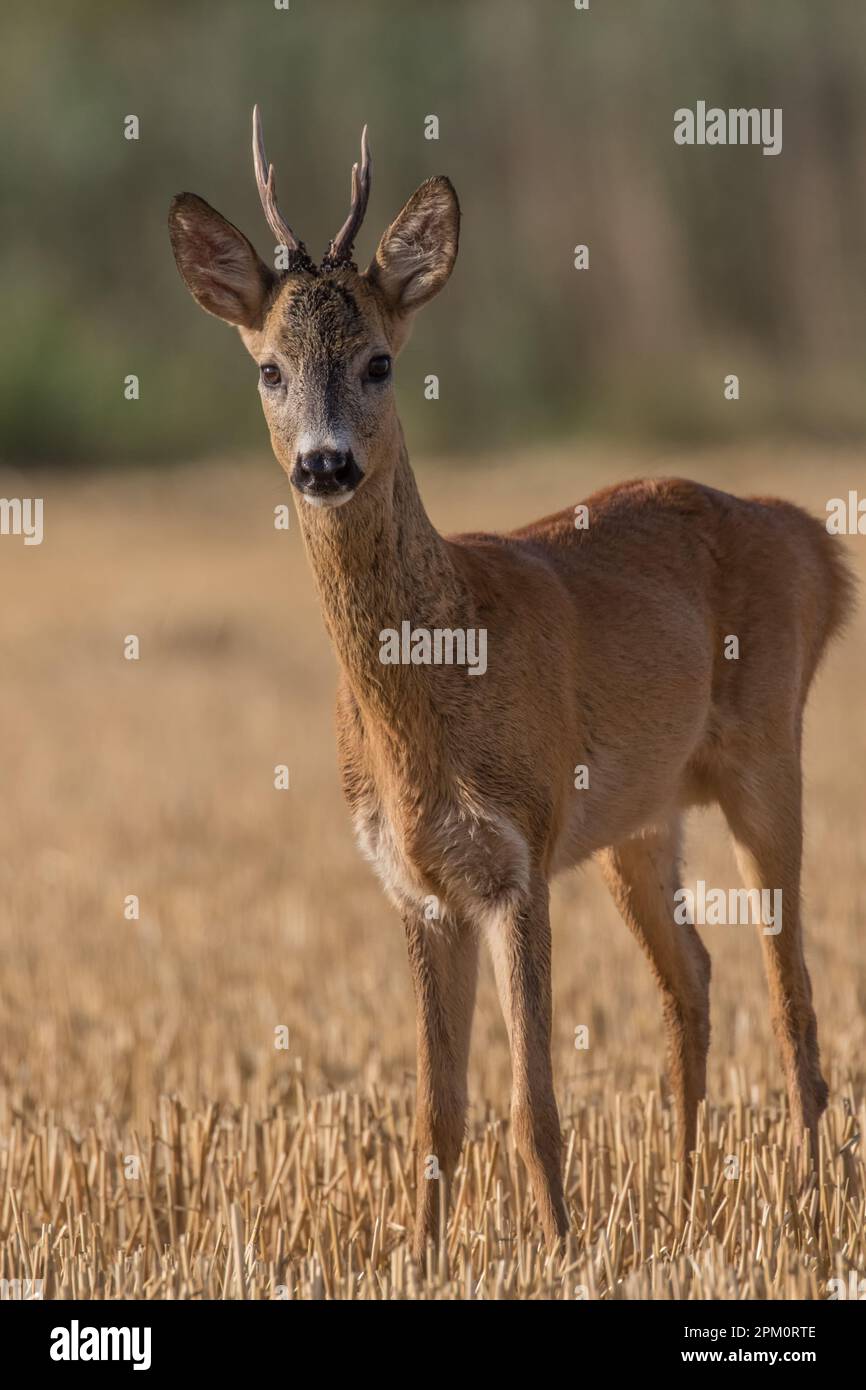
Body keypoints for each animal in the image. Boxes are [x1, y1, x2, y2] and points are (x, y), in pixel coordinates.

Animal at [169, 108, 854, 1258]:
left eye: (380, 361)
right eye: (267, 368)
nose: (324, 465)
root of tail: (814, 541)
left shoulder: (520, 853)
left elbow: (534, 1103)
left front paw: (568, 1252)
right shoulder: (413, 882)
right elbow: (437, 1108)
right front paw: (422, 1256)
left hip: (767, 753)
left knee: (791, 991)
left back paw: (806, 1210)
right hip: (639, 817)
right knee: (692, 978)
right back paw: (682, 1199)